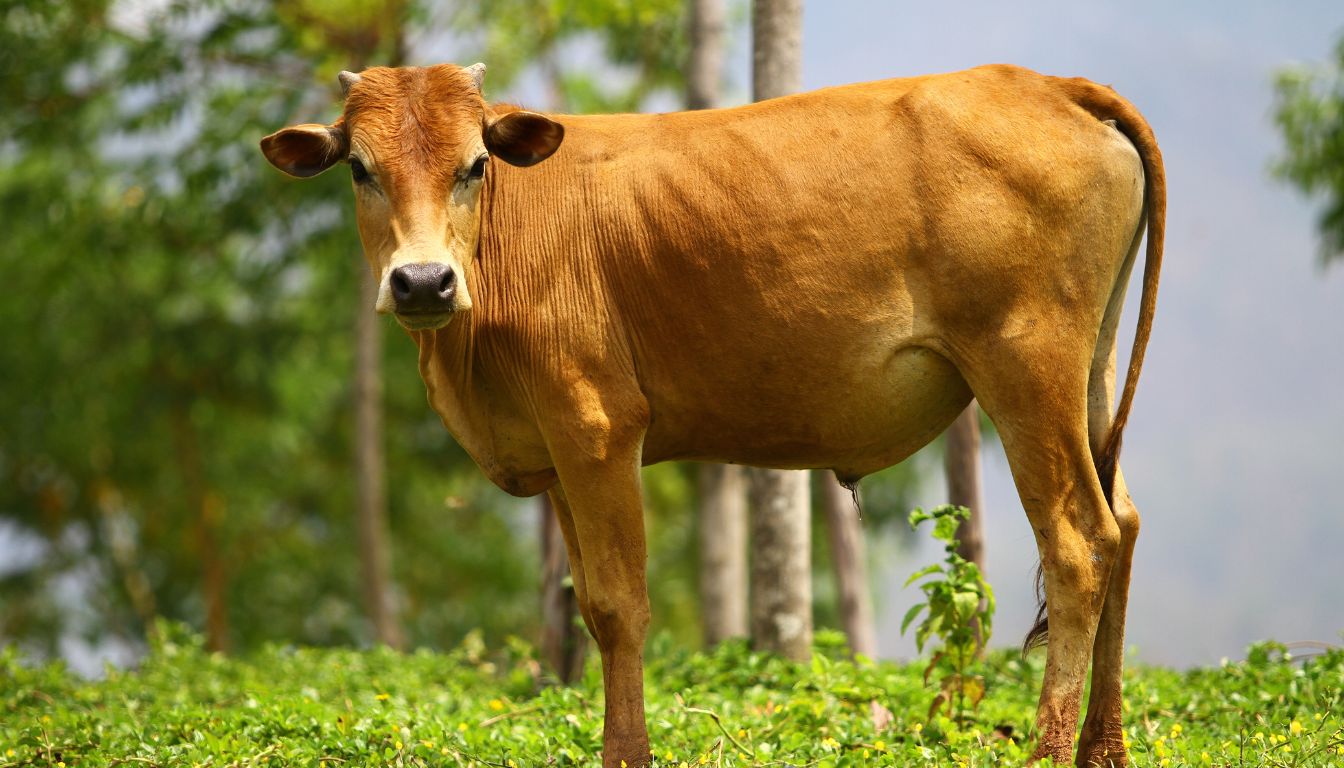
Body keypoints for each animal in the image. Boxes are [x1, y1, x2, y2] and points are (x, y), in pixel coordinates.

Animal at [261, 61, 1164, 767]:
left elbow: (619, 606)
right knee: (1123, 522)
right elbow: (591, 608)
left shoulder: (596, 426)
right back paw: (1104, 748)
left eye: (475, 164)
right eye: (360, 169)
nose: (423, 282)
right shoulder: (556, 451)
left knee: (1079, 541)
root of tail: (1053, 85)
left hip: (1025, 365)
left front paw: (627, 754)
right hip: (1087, 370)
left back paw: (1052, 749)